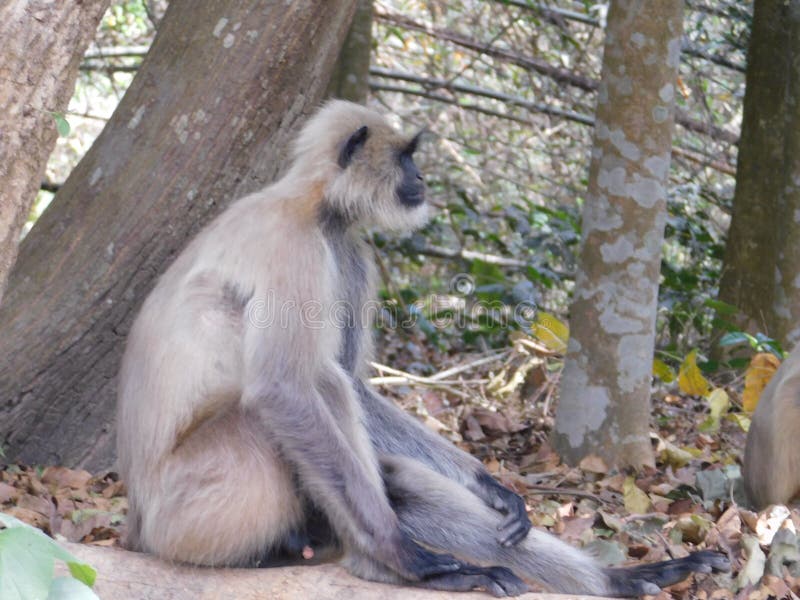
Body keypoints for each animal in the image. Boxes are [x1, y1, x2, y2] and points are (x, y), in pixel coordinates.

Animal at [117, 99, 729, 597]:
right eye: (406, 157)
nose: (422, 176)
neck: (316, 207)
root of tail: (136, 526)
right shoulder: (293, 247)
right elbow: (283, 388)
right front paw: (405, 558)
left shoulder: (348, 250)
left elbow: (355, 384)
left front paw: (489, 485)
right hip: (201, 507)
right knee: (311, 389)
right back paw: (385, 565)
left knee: (383, 461)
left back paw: (619, 579)